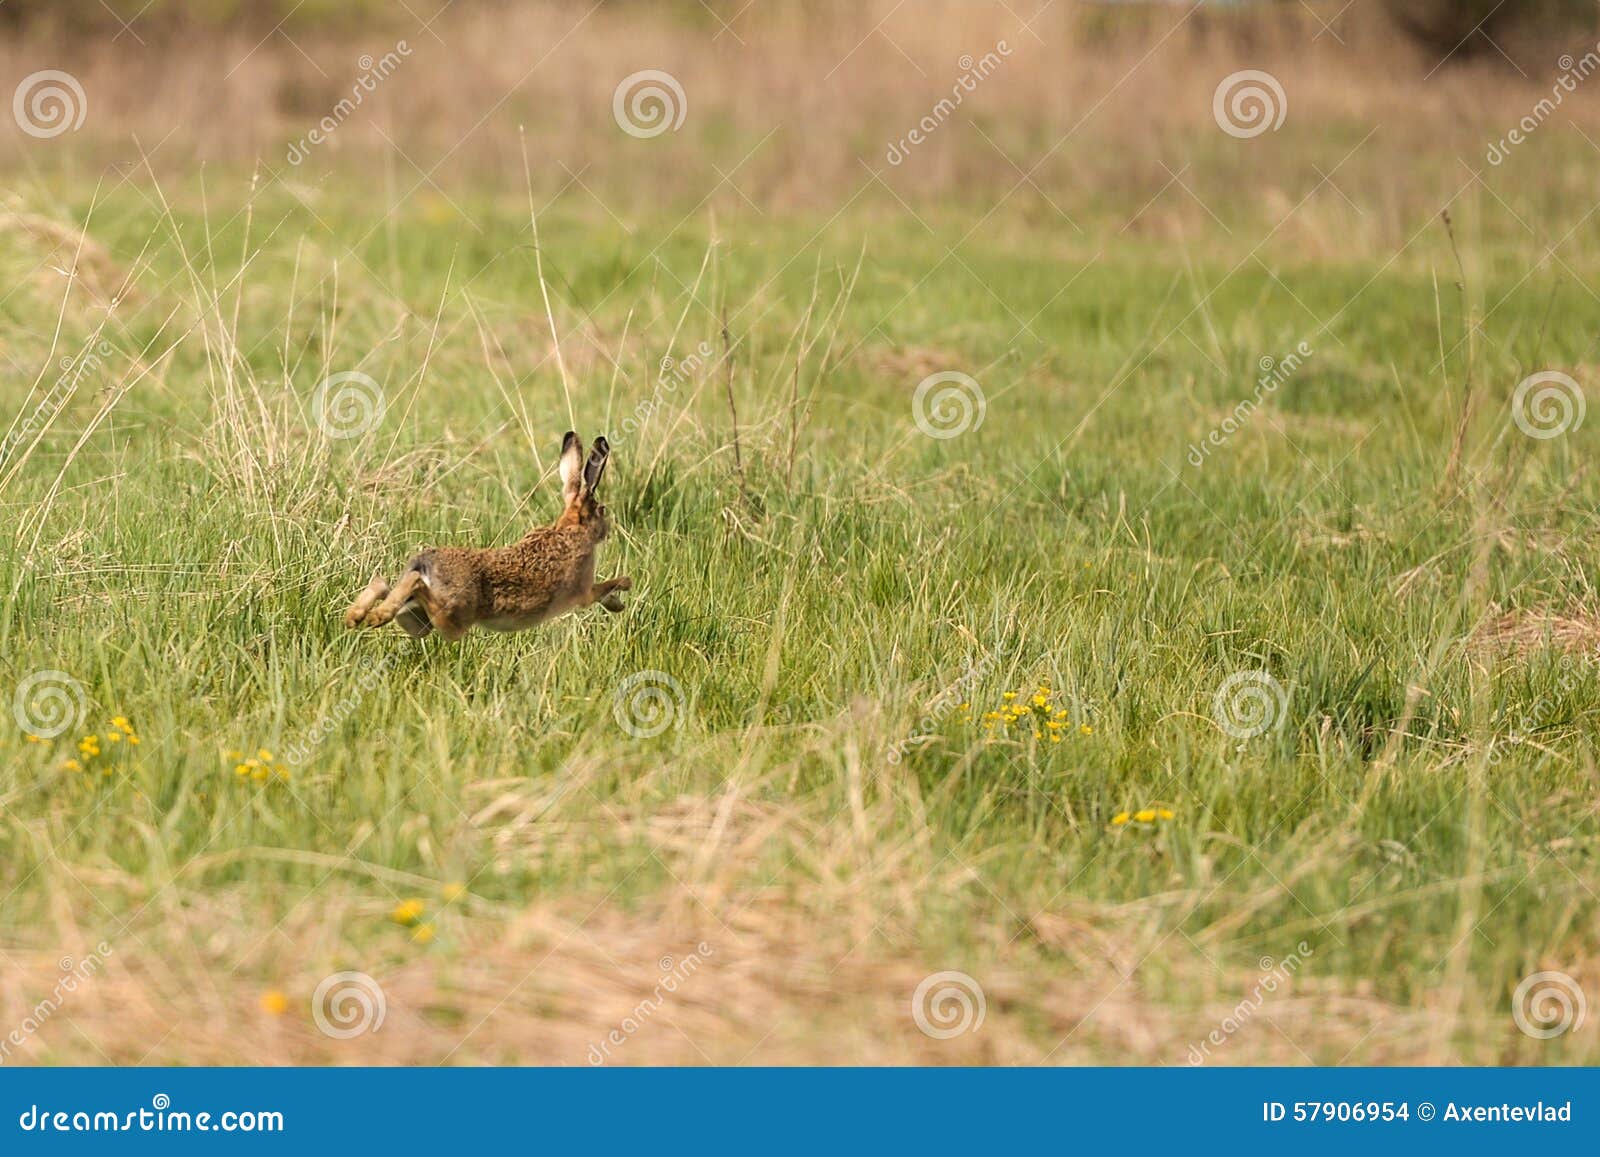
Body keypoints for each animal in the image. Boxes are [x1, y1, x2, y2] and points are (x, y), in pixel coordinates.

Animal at [343, 431, 630, 640]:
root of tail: (424, 564)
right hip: (451, 619)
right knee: (415, 586)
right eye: (602, 510)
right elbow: (602, 588)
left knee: (384, 584)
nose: (607, 531)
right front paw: (624, 588)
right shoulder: (582, 591)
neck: (571, 529)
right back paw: (372, 615)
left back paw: (358, 616)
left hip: (418, 621)